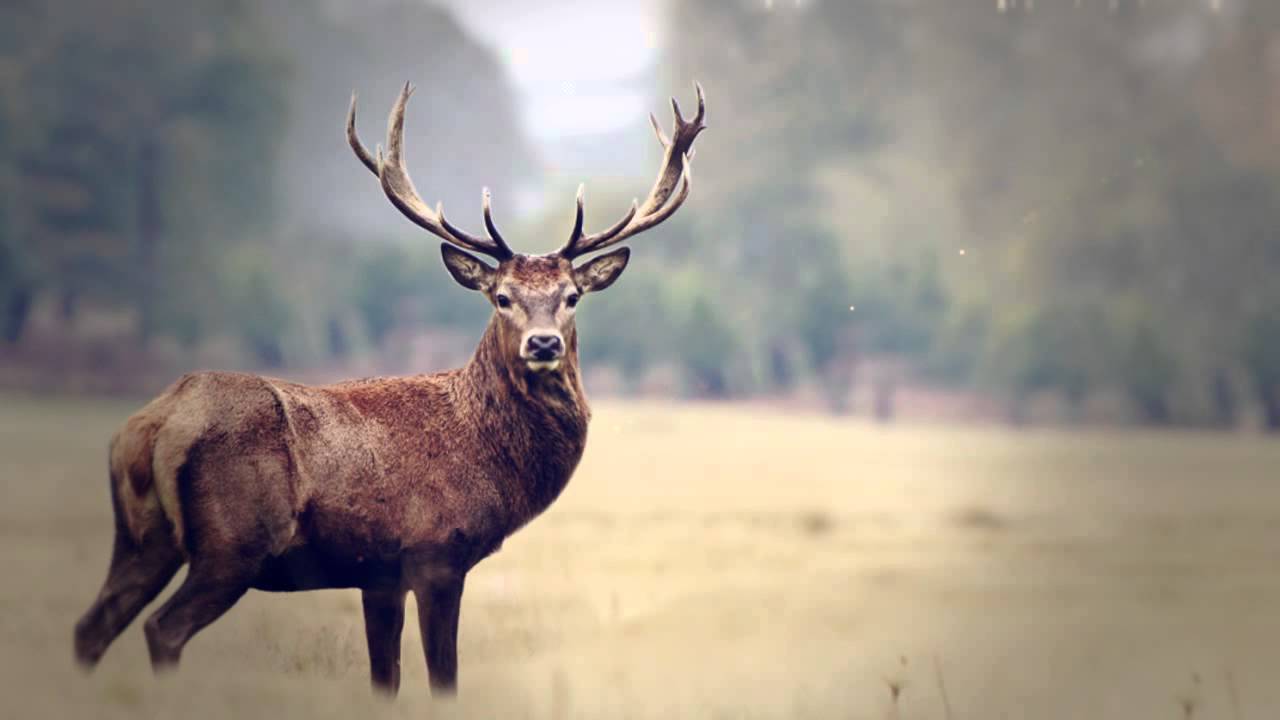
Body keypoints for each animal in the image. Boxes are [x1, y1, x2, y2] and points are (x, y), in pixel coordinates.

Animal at [72, 81, 706, 697]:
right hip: (232, 543)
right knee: (162, 629)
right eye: (501, 297)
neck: (488, 455)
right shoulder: (436, 554)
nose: (544, 344)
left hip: (141, 537)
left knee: (91, 627)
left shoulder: (377, 576)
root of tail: (155, 423)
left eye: (572, 295)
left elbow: (386, 679)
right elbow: (444, 678)